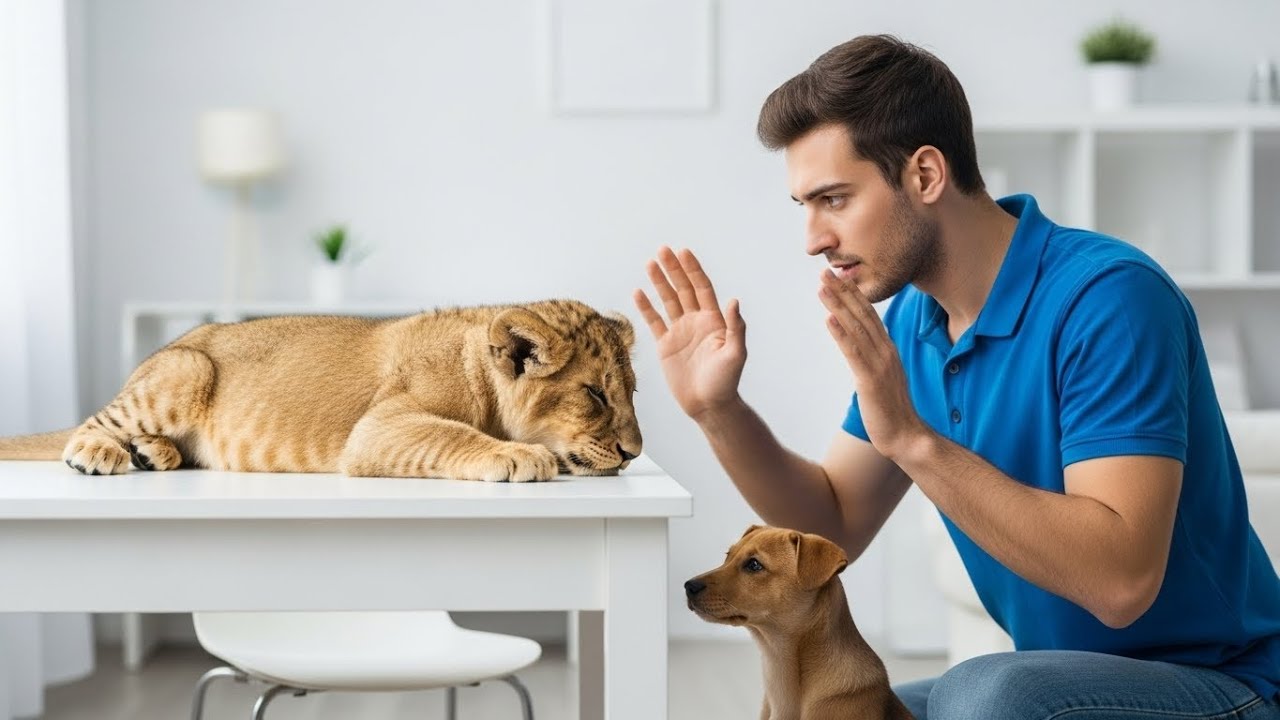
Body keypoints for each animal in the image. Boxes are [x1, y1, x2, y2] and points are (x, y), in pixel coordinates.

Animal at [0, 299, 643, 482]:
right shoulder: (379, 428)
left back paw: (153, 453)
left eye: (632, 393)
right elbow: (454, 434)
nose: (634, 454)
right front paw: (519, 454)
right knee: (90, 423)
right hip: (187, 369)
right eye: (596, 395)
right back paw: (102, 453)